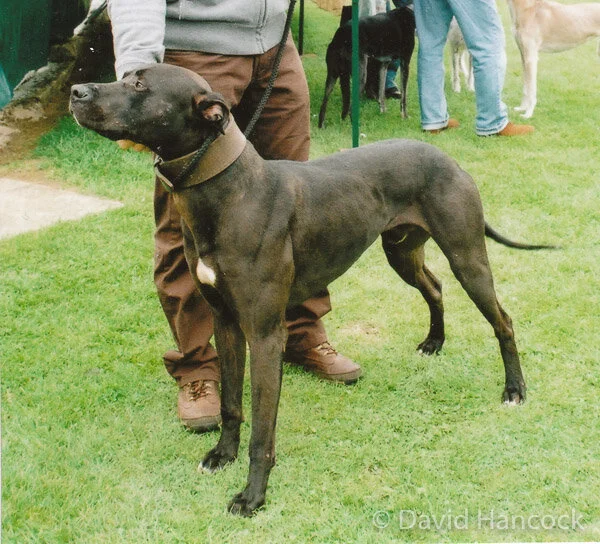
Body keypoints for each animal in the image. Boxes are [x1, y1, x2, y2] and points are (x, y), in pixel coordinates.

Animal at [70, 64, 552, 516]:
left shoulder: (265, 335)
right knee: (433, 287)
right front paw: (221, 455)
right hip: (402, 253)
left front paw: (252, 496)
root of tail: (447, 158)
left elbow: (262, 431)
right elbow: (230, 405)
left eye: (139, 85)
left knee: (503, 320)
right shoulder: (226, 323)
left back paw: (514, 390)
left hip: (467, 257)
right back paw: (434, 342)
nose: (76, 91)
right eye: (126, 76)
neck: (225, 191)